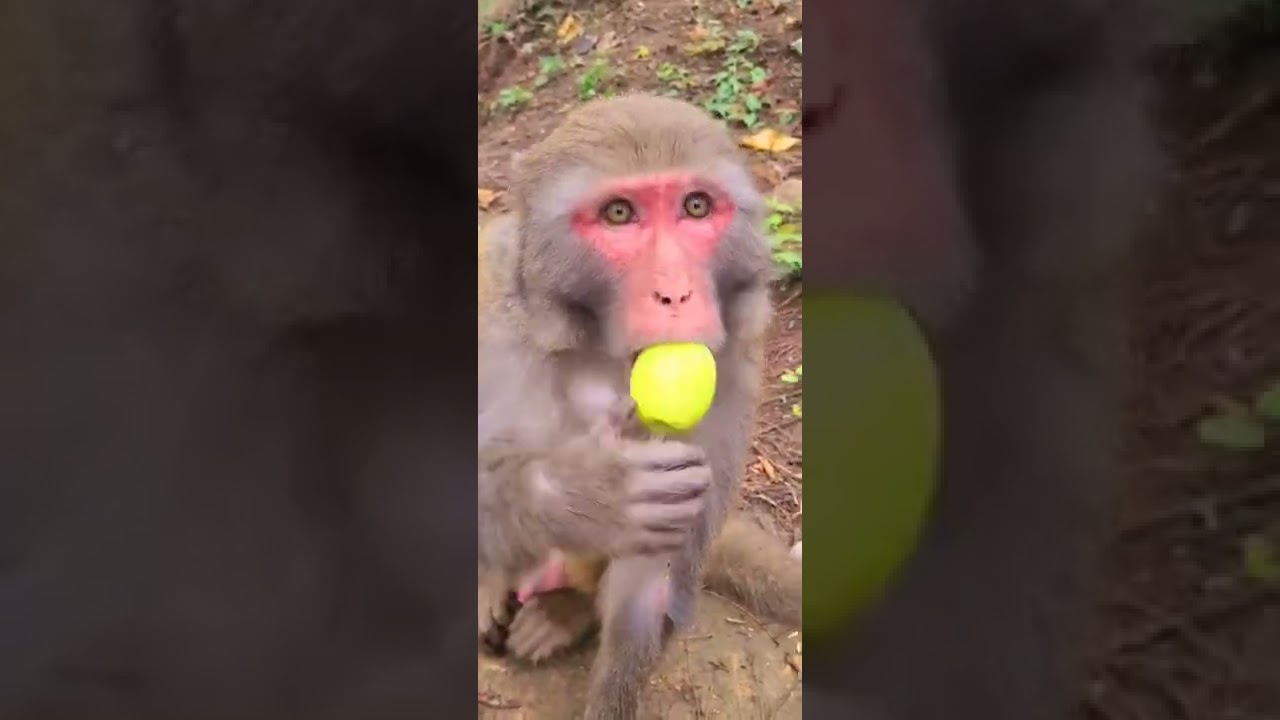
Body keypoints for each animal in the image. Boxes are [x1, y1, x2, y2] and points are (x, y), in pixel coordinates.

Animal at [476, 93, 803, 717]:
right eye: (619, 214)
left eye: (696, 207)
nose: (675, 293)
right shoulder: (489, 303)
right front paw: (582, 497)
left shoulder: (735, 364)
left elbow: (652, 587)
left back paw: (564, 611)